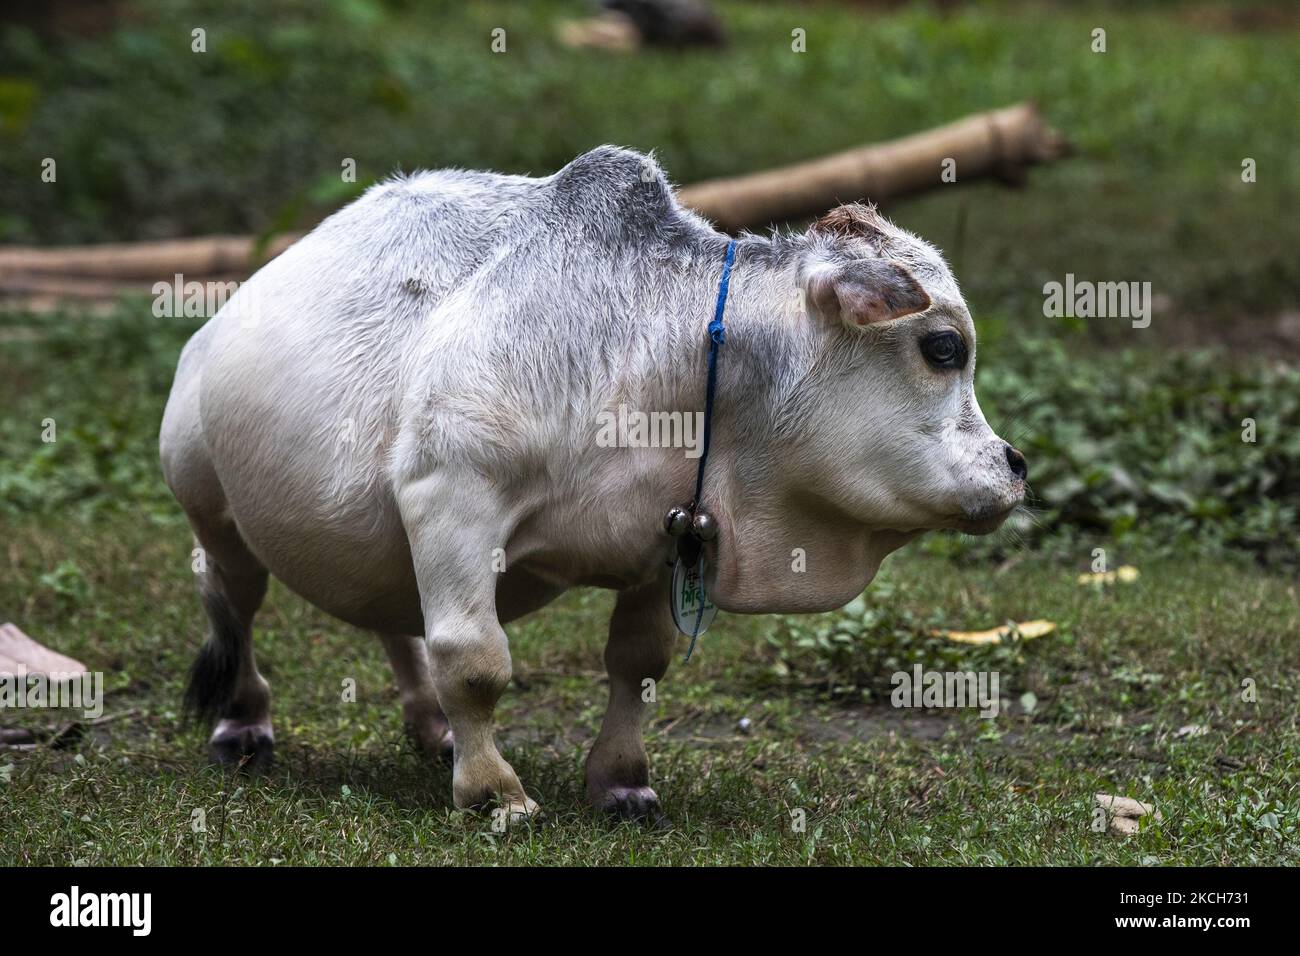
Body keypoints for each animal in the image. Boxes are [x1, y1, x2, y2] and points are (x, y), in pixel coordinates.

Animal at [159, 146, 1026, 821]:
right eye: (943, 348)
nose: (1014, 465)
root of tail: (218, 323)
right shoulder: (452, 496)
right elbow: (474, 658)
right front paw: (494, 792)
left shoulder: (670, 531)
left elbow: (637, 664)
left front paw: (620, 785)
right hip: (209, 505)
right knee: (230, 602)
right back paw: (243, 724)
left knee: (395, 628)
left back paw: (432, 728)